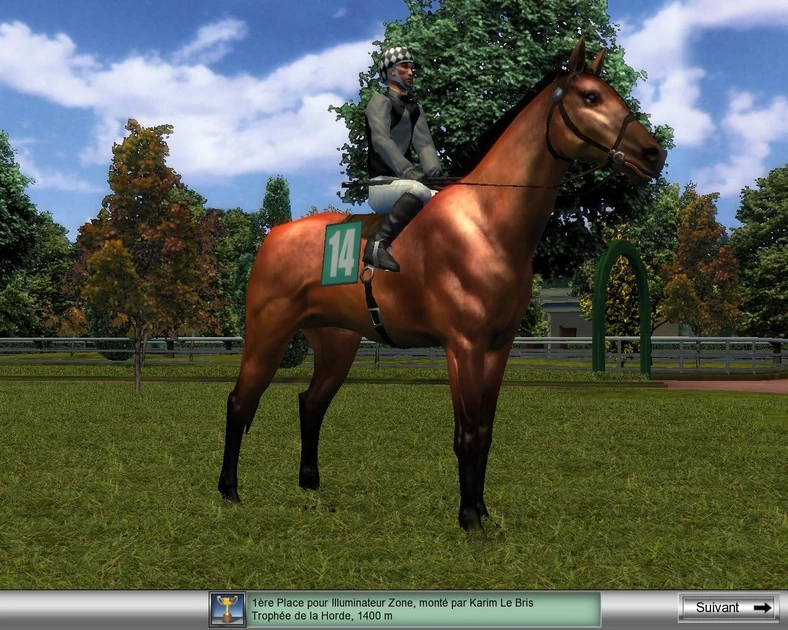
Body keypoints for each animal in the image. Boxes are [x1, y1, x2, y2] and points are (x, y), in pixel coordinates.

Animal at [218, 35, 667, 532]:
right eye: (589, 97)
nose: (654, 153)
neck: (488, 223)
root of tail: (275, 234)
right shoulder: (464, 346)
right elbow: (466, 432)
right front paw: (470, 520)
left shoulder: (498, 347)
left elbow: (485, 431)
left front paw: (485, 512)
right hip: (269, 332)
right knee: (240, 401)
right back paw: (229, 492)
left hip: (336, 342)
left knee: (310, 403)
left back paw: (311, 485)